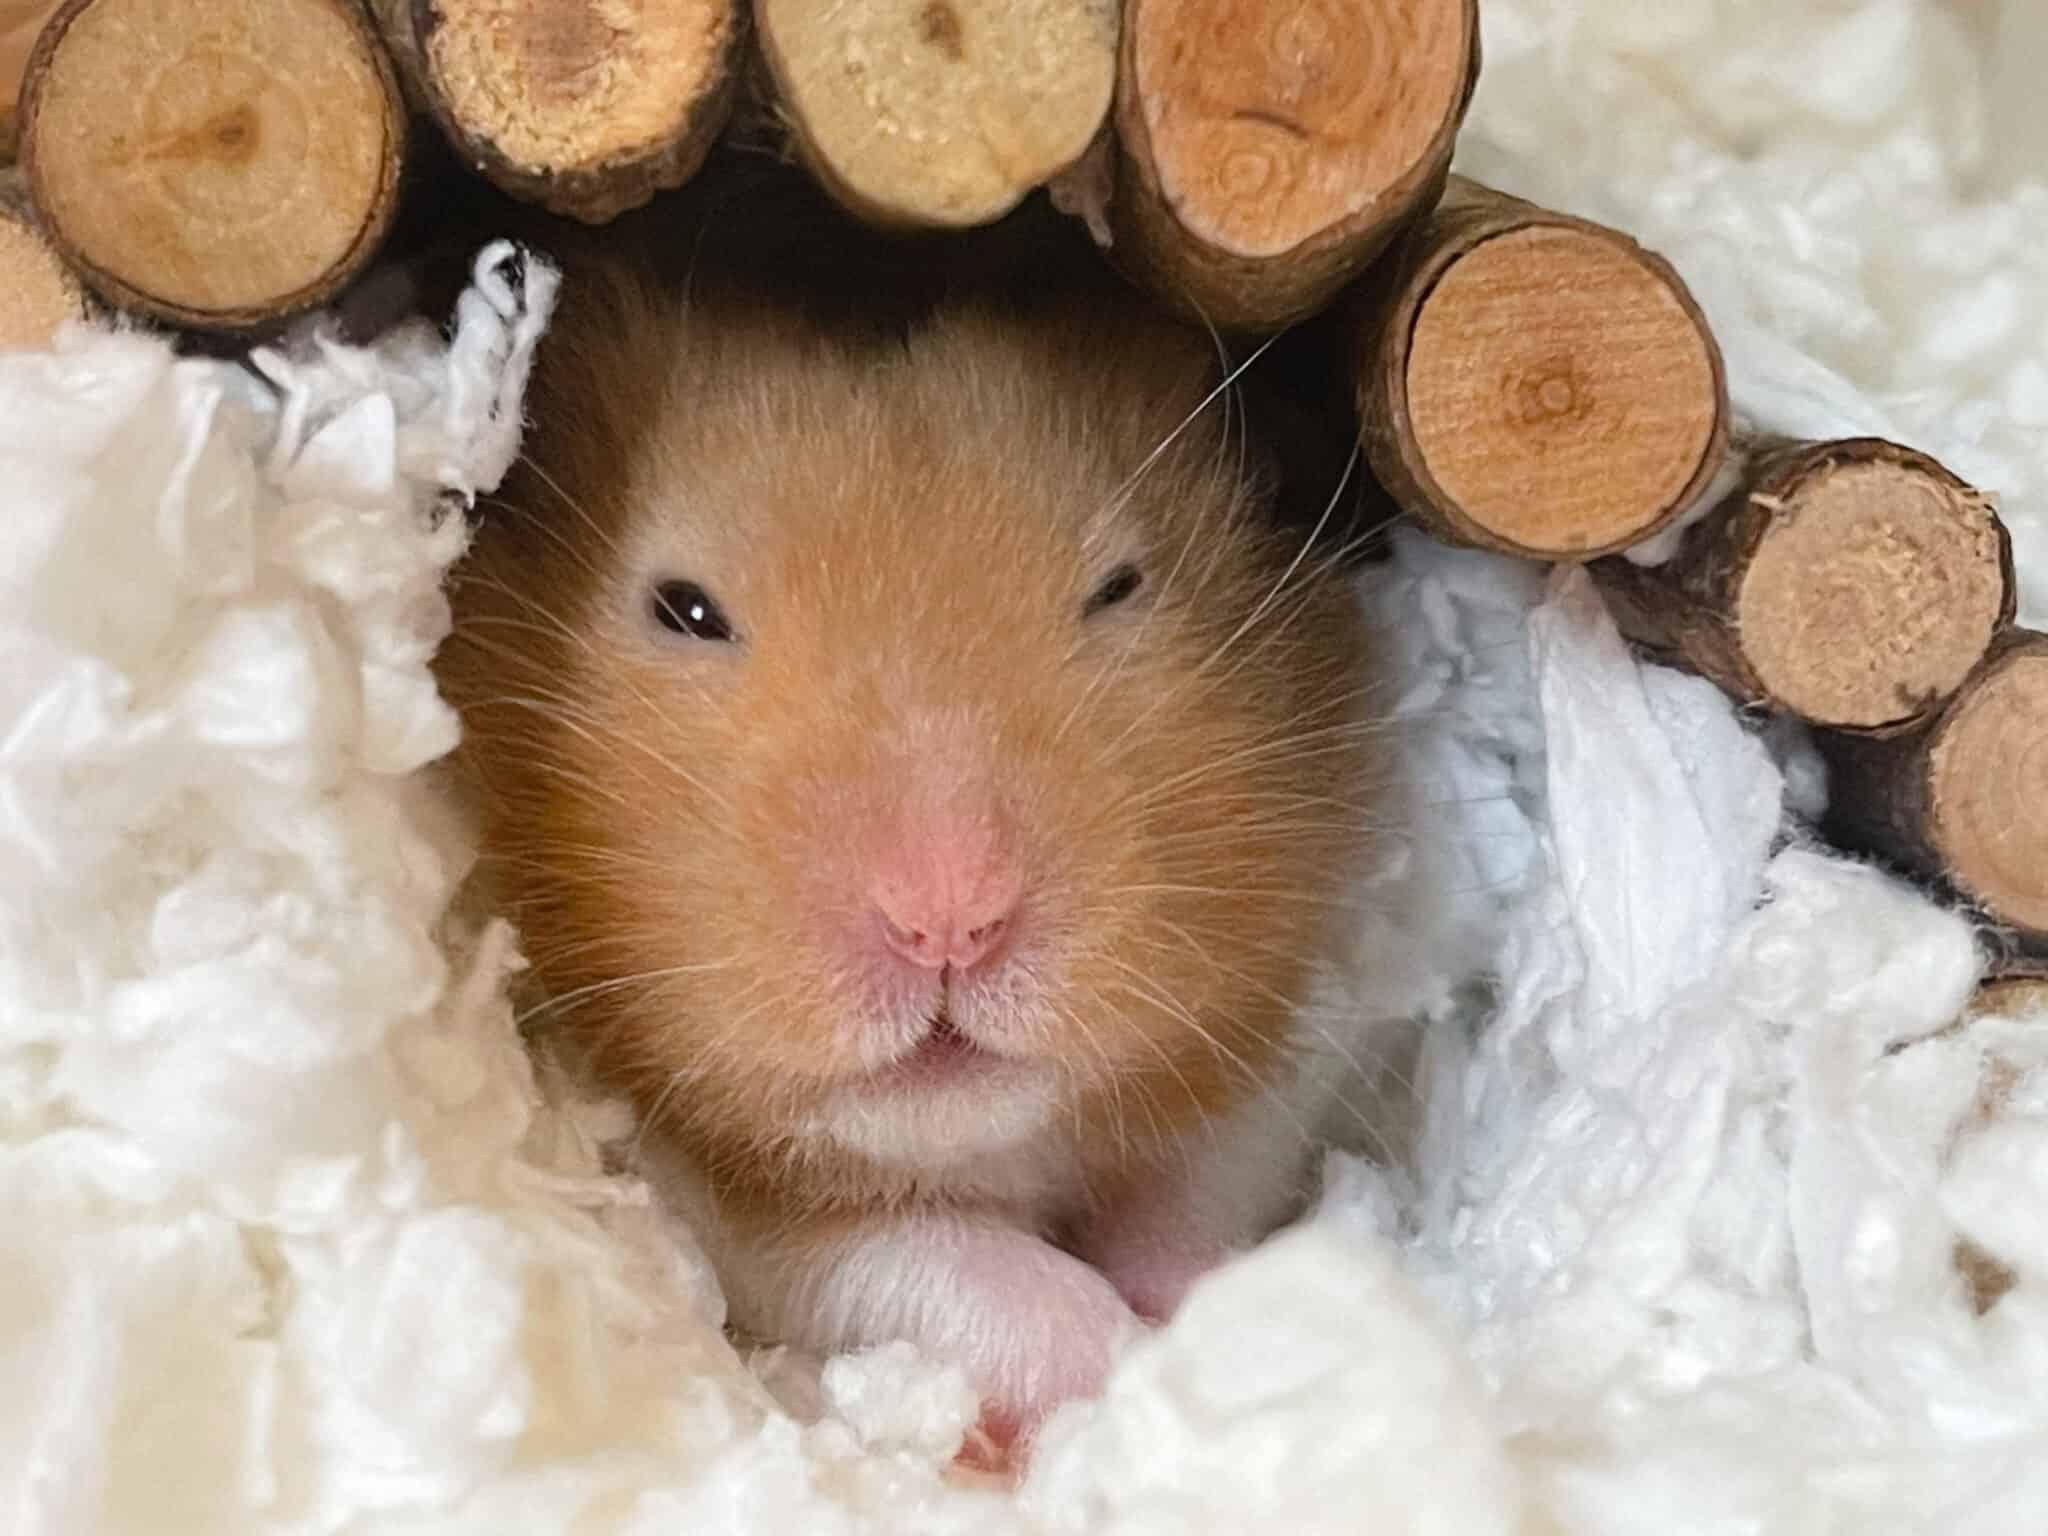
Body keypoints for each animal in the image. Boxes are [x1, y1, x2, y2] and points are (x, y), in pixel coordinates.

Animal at [434, 175, 1397, 1461]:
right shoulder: (719, 1209)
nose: (948, 923)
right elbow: (955, 1266)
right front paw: (1132, 1371)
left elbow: (1196, 1188)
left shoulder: (1305, 1007)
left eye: (1120, 587)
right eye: (683, 609)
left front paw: (1216, 1324)